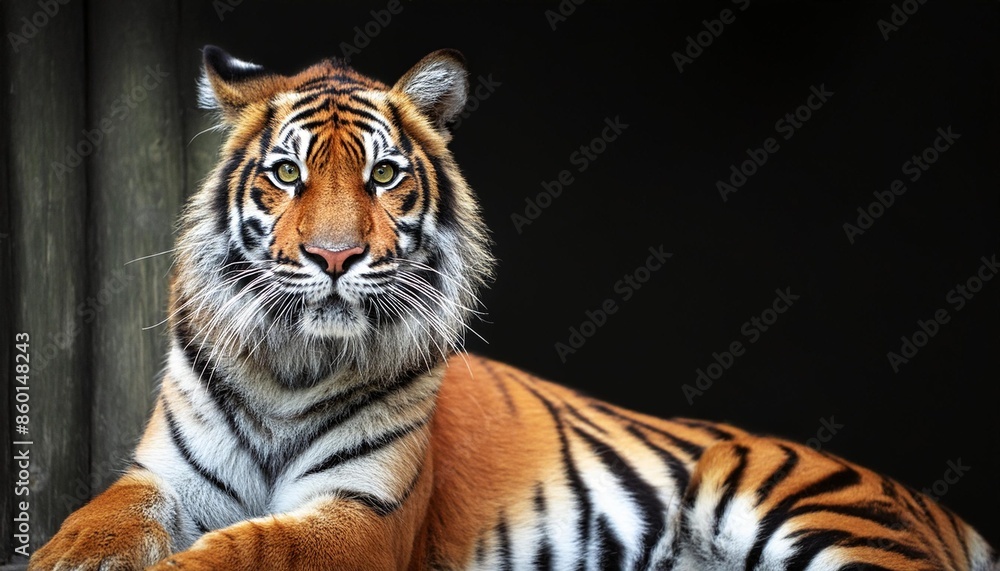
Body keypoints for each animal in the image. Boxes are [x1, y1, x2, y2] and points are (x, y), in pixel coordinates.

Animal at [28, 45, 997, 571]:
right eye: (287, 173)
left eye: (384, 174)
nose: (335, 258)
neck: (289, 362)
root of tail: (947, 511)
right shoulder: (157, 475)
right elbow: (95, 519)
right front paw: (63, 554)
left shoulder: (363, 512)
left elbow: (251, 545)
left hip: (783, 492)